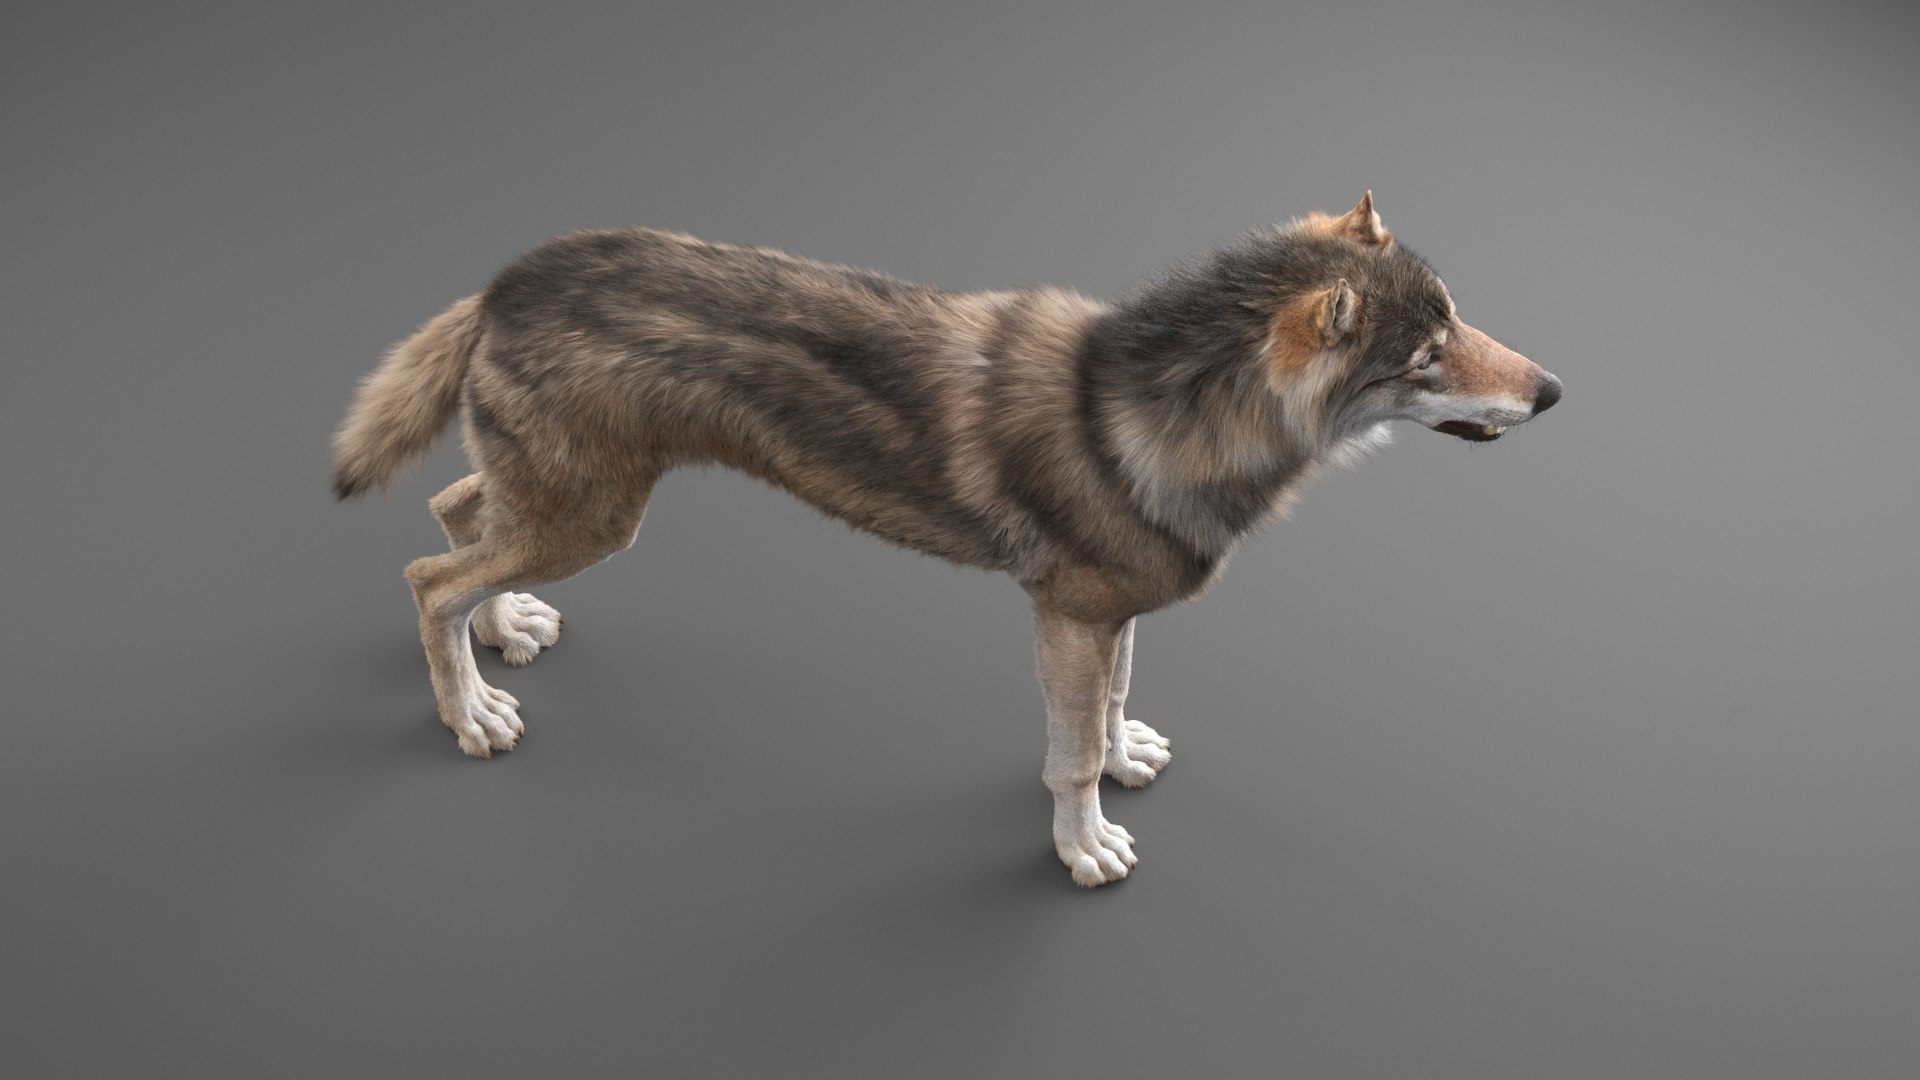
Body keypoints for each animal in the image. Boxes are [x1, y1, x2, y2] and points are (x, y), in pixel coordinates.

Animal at [333, 194, 1561, 887]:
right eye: (1424, 357)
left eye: (1456, 315)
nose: (1554, 392)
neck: (1144, 412)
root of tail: (504, 279)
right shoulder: (1065, 616)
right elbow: (1068, 757)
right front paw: (1085, 849)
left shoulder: (1109, 614)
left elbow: (1112, 709)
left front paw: (1126, 758)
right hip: (593, 517)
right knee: (427, 573)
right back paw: (474, 716)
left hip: (564, 504)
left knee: (454, 515)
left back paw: (506, 635)